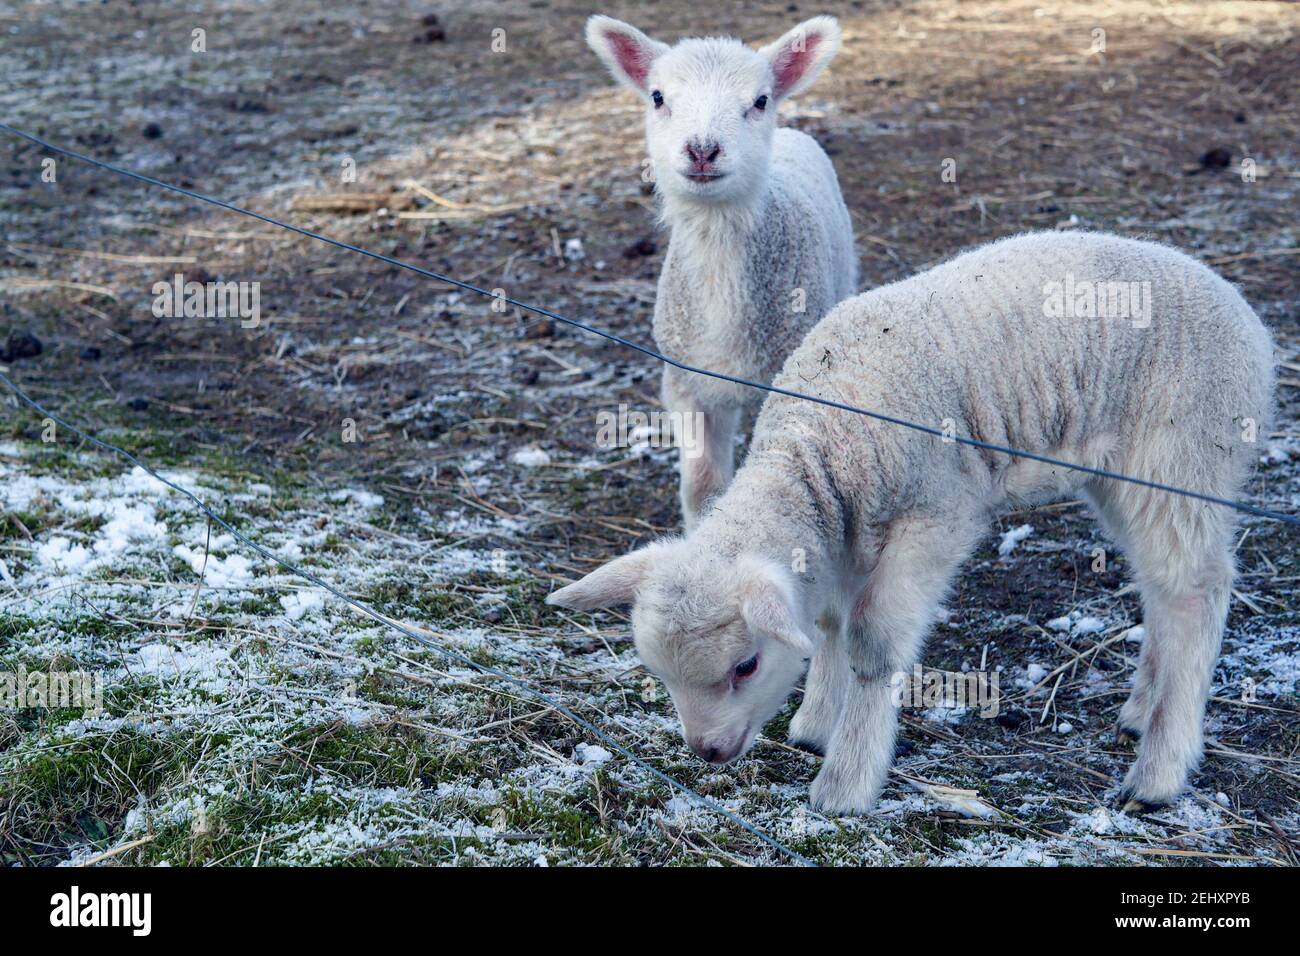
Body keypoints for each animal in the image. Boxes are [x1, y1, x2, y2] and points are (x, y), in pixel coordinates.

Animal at [548, 230, 1276, 816]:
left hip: (1182, 457)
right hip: (1124, 478)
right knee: (1160, 586)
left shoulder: (933, 514)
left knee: (1196, 588)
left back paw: (1159, 771)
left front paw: (844, 782)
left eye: (745, 666)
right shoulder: (842, 525)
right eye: (662, 675)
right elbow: (827, 621)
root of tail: (1252, 326)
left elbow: (872, 639)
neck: (816, 446)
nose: (708, 751)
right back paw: (1140, 710)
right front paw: (816, 723)